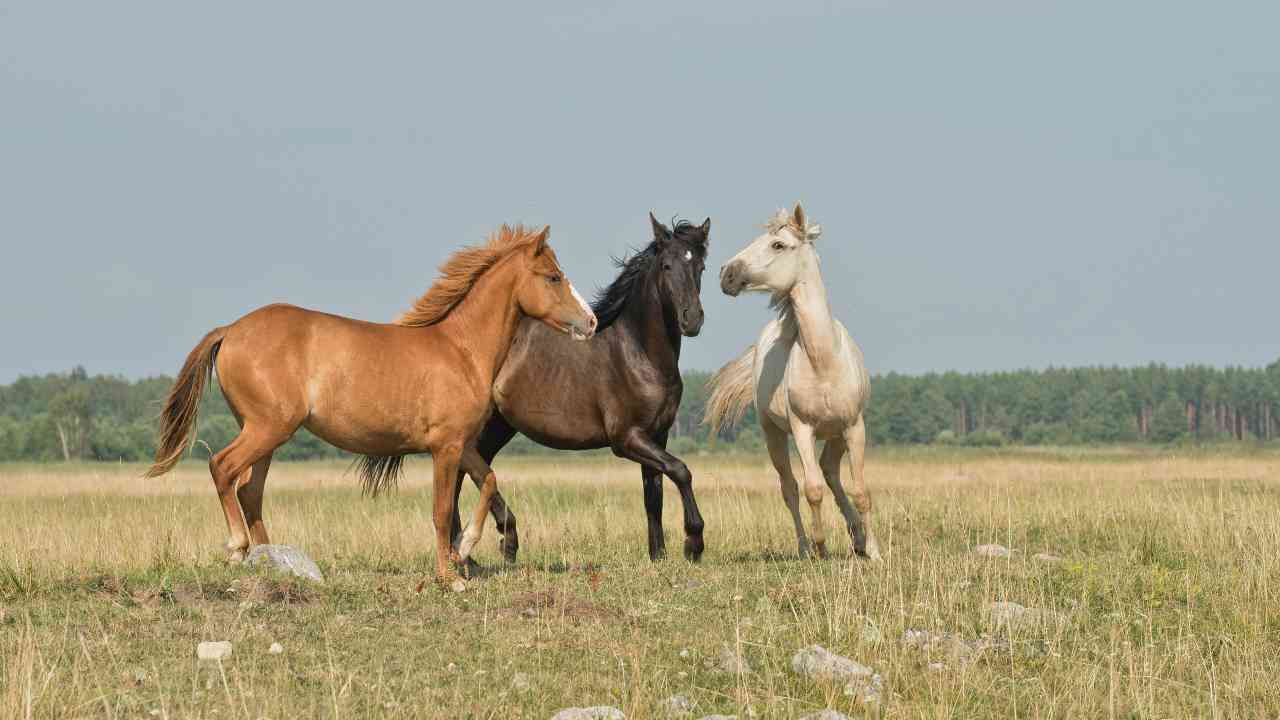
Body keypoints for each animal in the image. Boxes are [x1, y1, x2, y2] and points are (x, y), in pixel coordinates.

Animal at [144, 225, 598, 587]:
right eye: (553, 277)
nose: (590, 322)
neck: (461, 350)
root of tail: (231, 329)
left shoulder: (463, 444)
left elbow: (488, 480)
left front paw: (465, 549)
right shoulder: (445, 448)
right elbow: (440, 511)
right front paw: (449, 577)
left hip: (266, 434)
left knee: (249, 489)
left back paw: (272, 561)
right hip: (266, 428)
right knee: (222, 468)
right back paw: (238, 548)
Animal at [450, 213, 710, 564]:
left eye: (701, 266)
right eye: (667, 265)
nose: (692, 319)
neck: (639, 353)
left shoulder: (658, 435)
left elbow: (653, 494)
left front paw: (658, 556)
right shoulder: (627, 439)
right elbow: (681, 470)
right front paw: (693, 542)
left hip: (498, 426)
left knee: (470, 469)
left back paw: (481, 546)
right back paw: (484, 544)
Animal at [704, 204, 880, 560]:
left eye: (778, 245)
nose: (726, 274)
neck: (824, 361)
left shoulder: (854, 426)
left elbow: (861, 491)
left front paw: (874, 551)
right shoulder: (802, 429)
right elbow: (812, 490)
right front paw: (821, 547)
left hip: (837, 434)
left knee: (830, 471)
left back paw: (857, 538)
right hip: (773, 433)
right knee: (791, 488)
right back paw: (805, 547)